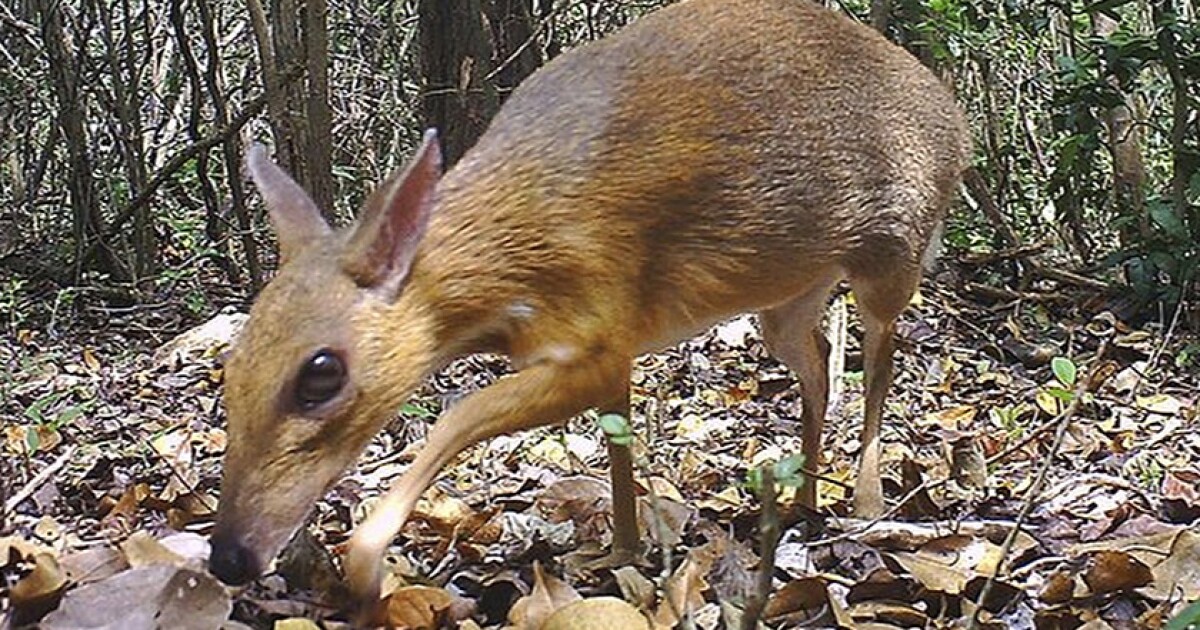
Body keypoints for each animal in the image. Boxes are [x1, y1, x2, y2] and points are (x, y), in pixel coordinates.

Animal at [208, 0, 971, 621]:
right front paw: (621, 553)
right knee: (816, 363)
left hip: (894, 251)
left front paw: (366, 569)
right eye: (230, 368)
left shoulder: (598, 328)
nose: (228, 557)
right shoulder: (615, 345)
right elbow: (616, 439)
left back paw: (866, 504)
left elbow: (460, 414)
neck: (514, 247)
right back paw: (804, 500)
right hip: (786, 297)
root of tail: (953, 110)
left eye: (321, 373)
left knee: (880, 360)